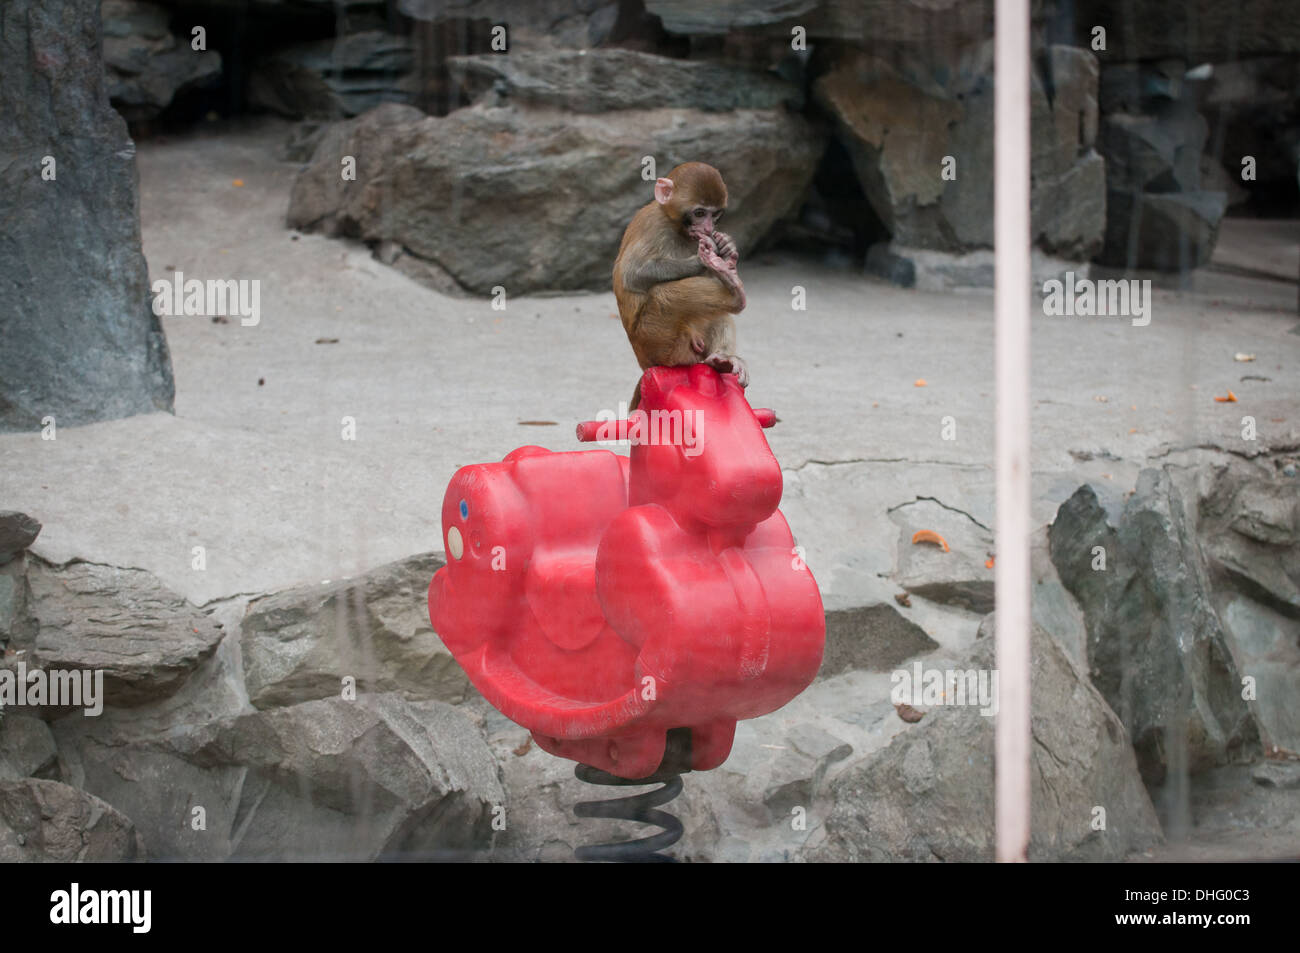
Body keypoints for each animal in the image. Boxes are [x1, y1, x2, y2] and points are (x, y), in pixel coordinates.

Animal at [612, 162, 747, 410]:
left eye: (715, 214)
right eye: (700, 213)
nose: (707, 228)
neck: (675, 225)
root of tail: (647, 364)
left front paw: (727, 246)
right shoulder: (656, 226)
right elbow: (633, 274)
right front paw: (706, 259)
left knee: (716, 314)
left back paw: (723, 361)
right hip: (658, 342)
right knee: (664, 295)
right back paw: (735, 296)